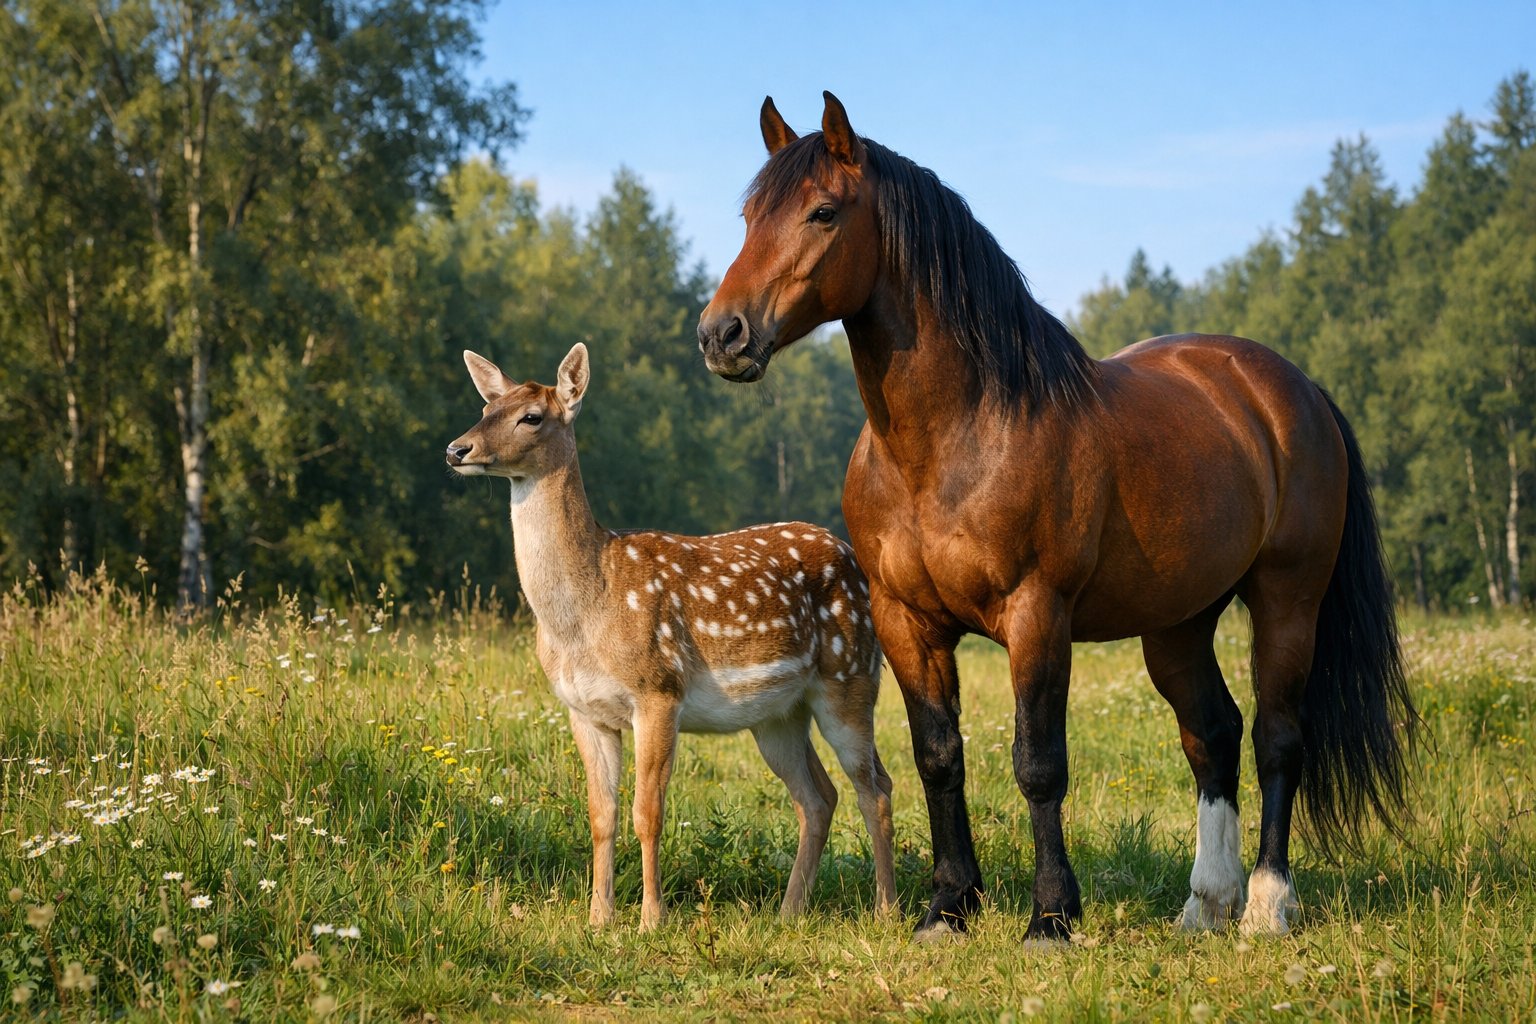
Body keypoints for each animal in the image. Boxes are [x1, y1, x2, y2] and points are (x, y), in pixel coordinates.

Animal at [446, 342, 897, 930]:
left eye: (532, 416)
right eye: (486, 408)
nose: (457, 448)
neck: (586, 613)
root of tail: (853, 561)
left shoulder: (658, 690)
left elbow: (648, 813)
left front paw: (650, 920)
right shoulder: (582, 709)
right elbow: (602, 815)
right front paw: (598, 919)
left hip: (851, 675)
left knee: (875, 786)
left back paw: (887, 912)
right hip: (777, 715)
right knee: (818, 797)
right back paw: (788, 912)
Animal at [696, 91, 1416, 942]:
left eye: (823, 212)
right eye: (750, 216)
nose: (722, 334)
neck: (953, 439)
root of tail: (1290, 388)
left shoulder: (1037, 614)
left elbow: (1039, 764)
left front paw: (1050, 917)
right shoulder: (907, 621)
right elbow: (939, 756)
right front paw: (948, 907)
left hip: (1287, 599)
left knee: (1277, 736)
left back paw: (1267, 905)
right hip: (1178, 622)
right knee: (1212, 735)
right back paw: (1206, 903)